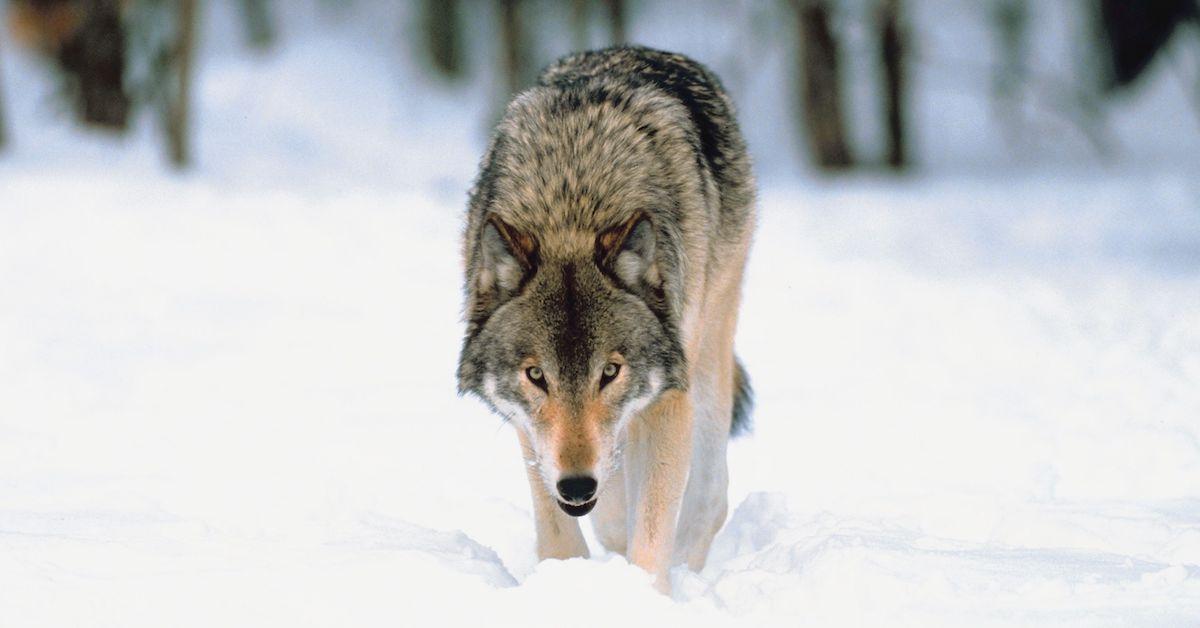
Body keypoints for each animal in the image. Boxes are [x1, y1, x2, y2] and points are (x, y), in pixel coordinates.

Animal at [457, 46, 755, 591]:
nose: (577, 485)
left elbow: (650, 531)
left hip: (708, 351)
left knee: (709, 496)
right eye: (537, 376)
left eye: (610, 372)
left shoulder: (669, 396)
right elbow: (562, 532)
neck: (572, 203)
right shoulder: (531, 431)